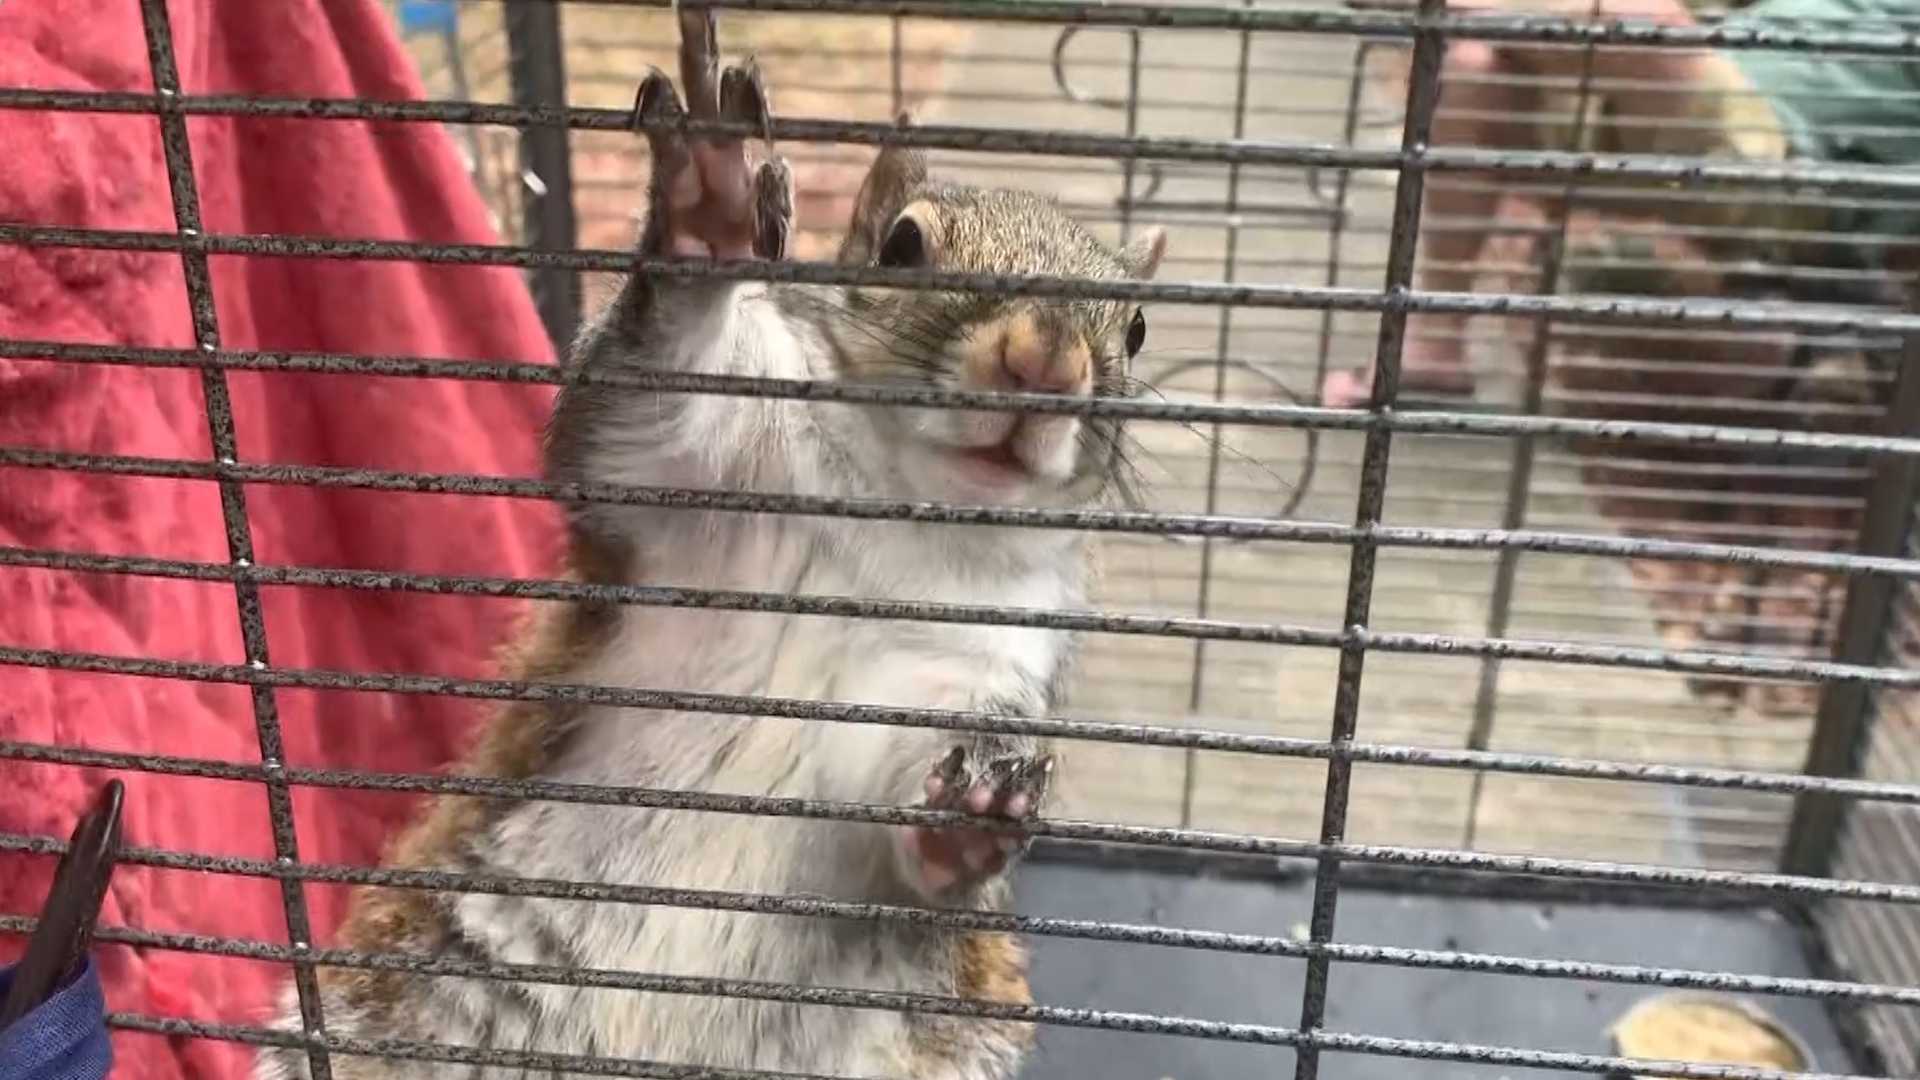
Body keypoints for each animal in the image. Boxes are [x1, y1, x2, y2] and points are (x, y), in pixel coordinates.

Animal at [255, 9, 1165, 1079]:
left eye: (1137, 330)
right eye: (901, 246)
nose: (1046, 361)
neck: (910, 523)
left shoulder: (981, 662)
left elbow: (900, 800)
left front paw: (974, 820)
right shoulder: (691, 478)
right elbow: (654, 404)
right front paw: (707, 200)